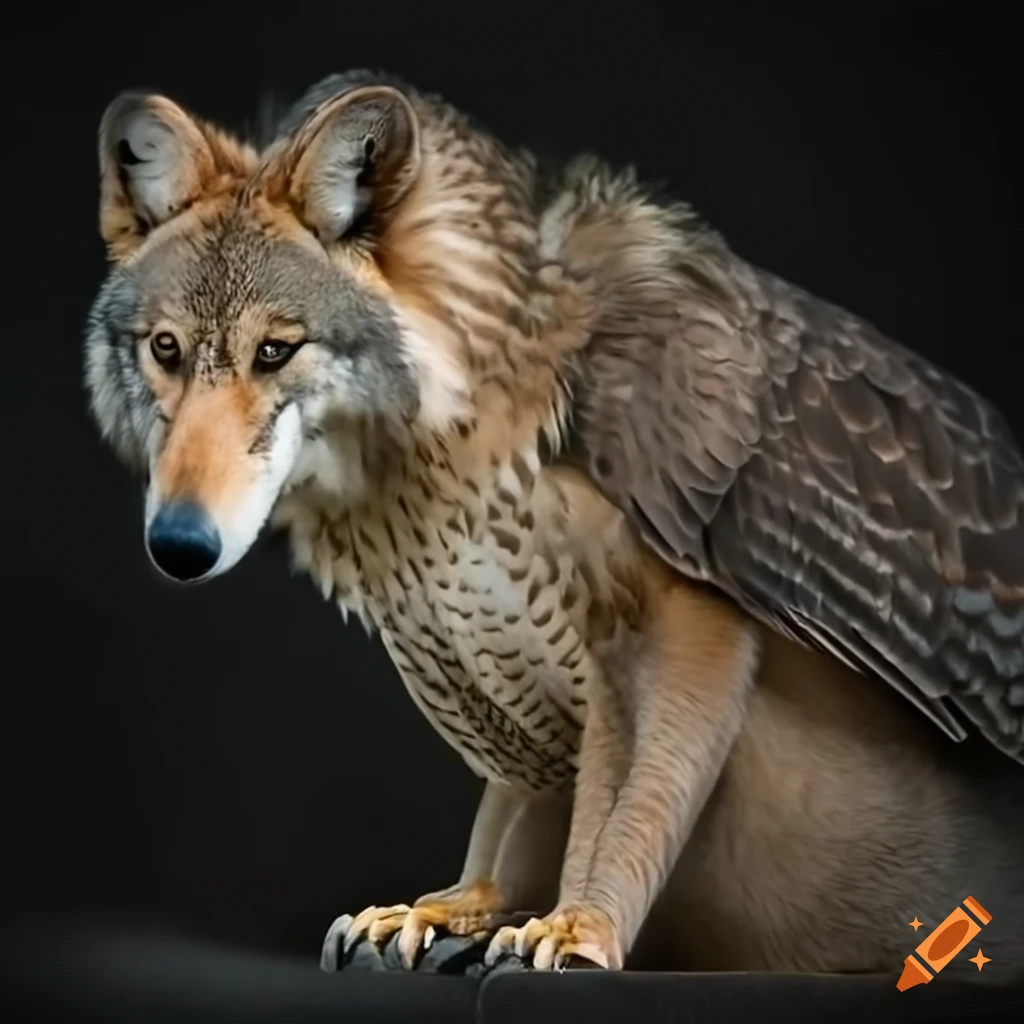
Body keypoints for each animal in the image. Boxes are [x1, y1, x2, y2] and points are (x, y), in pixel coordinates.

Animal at [84, 69, 1024, 977]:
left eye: (275, 351)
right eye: (166, 350)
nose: (179, 544)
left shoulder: (675, 632)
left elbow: (628, 805)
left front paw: (581, 928)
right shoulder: (468, 654)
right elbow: (509, 815)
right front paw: (454, 908)